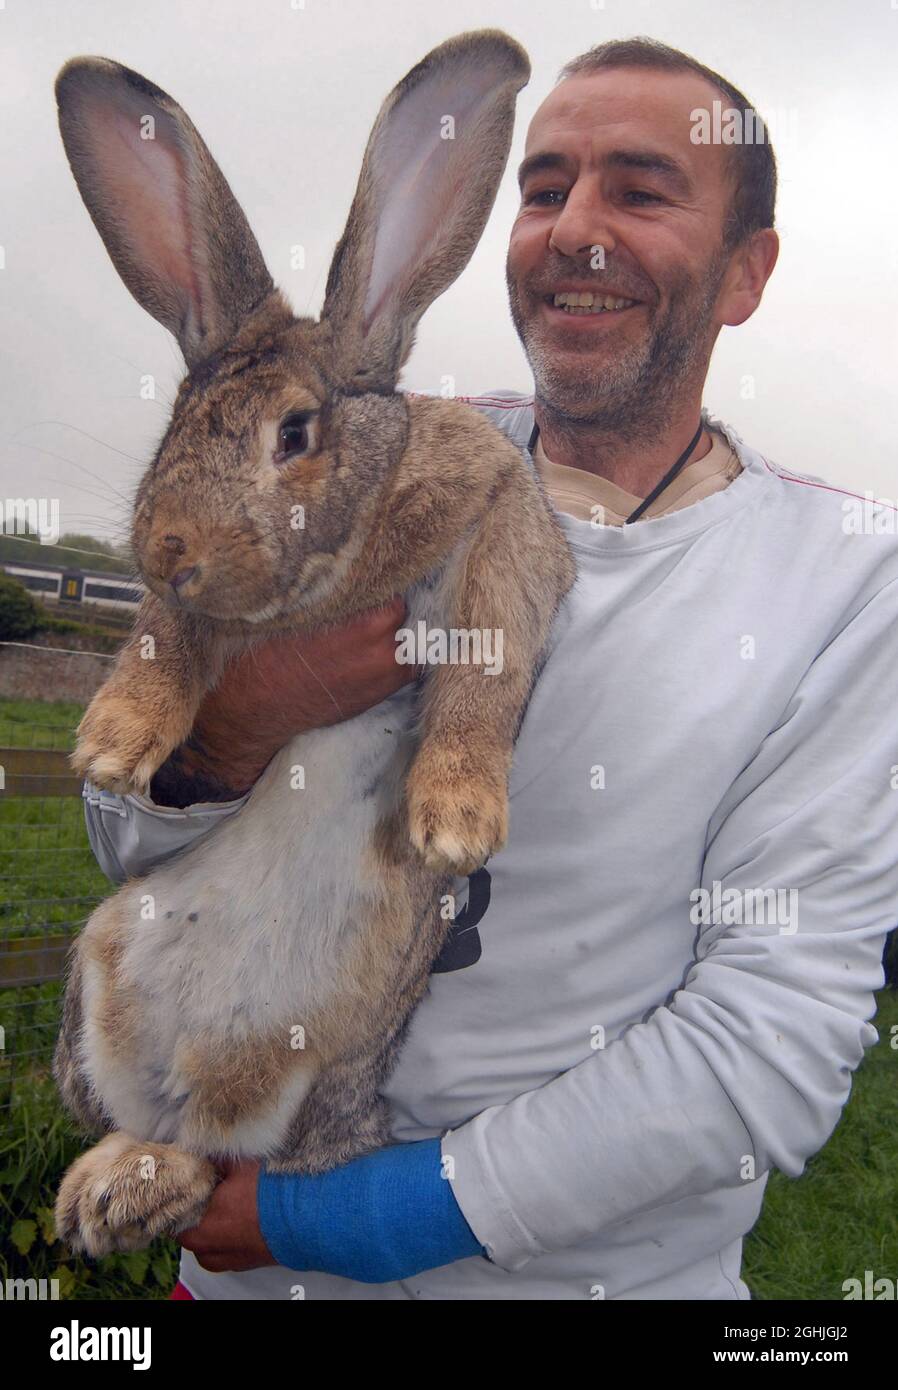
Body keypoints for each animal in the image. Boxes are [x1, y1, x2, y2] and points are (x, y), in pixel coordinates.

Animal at [51, 29, 576, 1258]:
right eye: (176, 423)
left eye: (296, 432)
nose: (169, 543)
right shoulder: (196, 610)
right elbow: (165, 637)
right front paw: (113, 747)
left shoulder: (501, 530)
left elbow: (484, 672)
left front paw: (454, 819)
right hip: (93, 980)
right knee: (157, 1129)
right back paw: (103, 1190)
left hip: (320, 1076)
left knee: (222, 1155)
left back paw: (133, 1185)